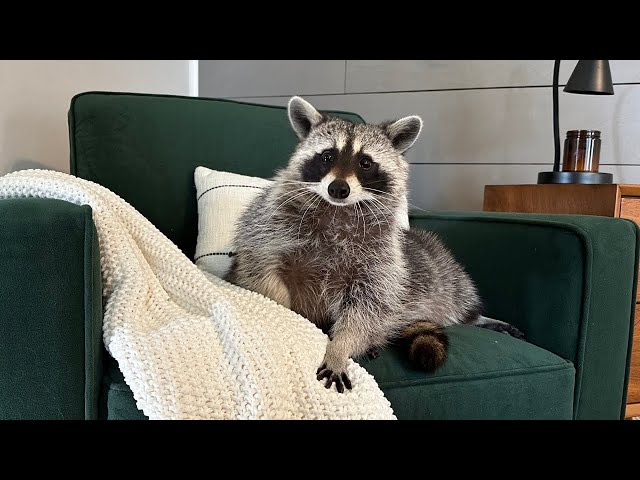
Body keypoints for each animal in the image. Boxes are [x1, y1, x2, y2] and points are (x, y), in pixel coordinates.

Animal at [226, 96, 524, 392]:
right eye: (327, 156)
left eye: (365, 163)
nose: (338, 188)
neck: (339, 211)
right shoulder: (268, 230)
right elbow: (261, 274)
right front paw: (289, 315)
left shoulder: (382, 263)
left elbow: (367, 308)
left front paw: (340, 347)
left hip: (448, 279)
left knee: (459, 306)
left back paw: (478, 318)